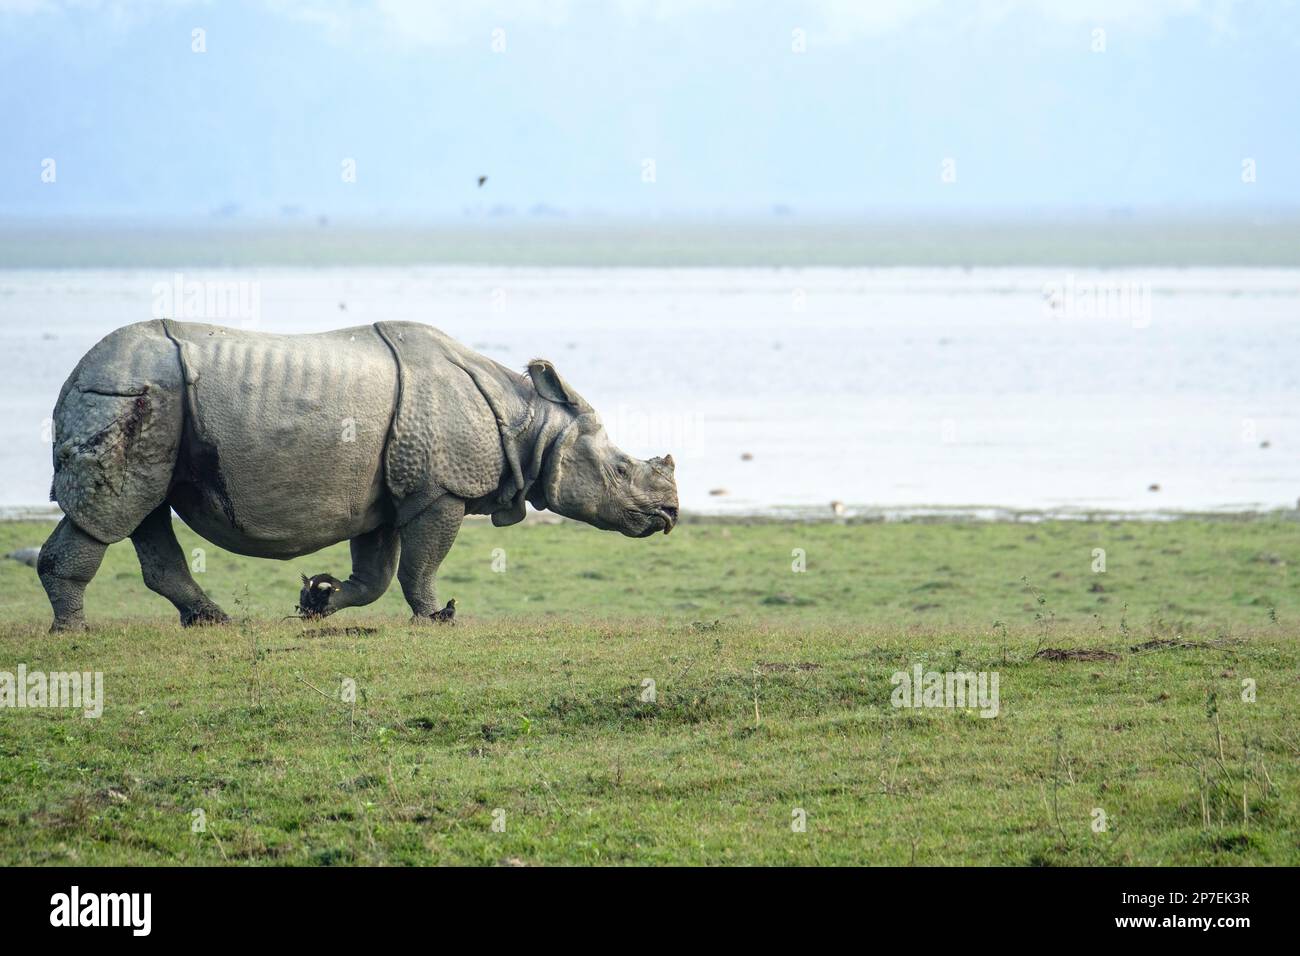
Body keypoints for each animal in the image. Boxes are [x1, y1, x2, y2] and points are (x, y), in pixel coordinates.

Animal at [37, 319, 679, 631]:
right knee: (114, 513)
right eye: (621, 470)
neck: (531, 421)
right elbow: (421, 565)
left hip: (147, 404)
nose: (669, 514)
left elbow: (377, 573)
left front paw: (318, 601)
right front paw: (440, 618)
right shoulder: (439, 490)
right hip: (134, 394)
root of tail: (74, 374)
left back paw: (212, 622)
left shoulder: (392, 492)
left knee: (144, 510)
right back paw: (75, 635)